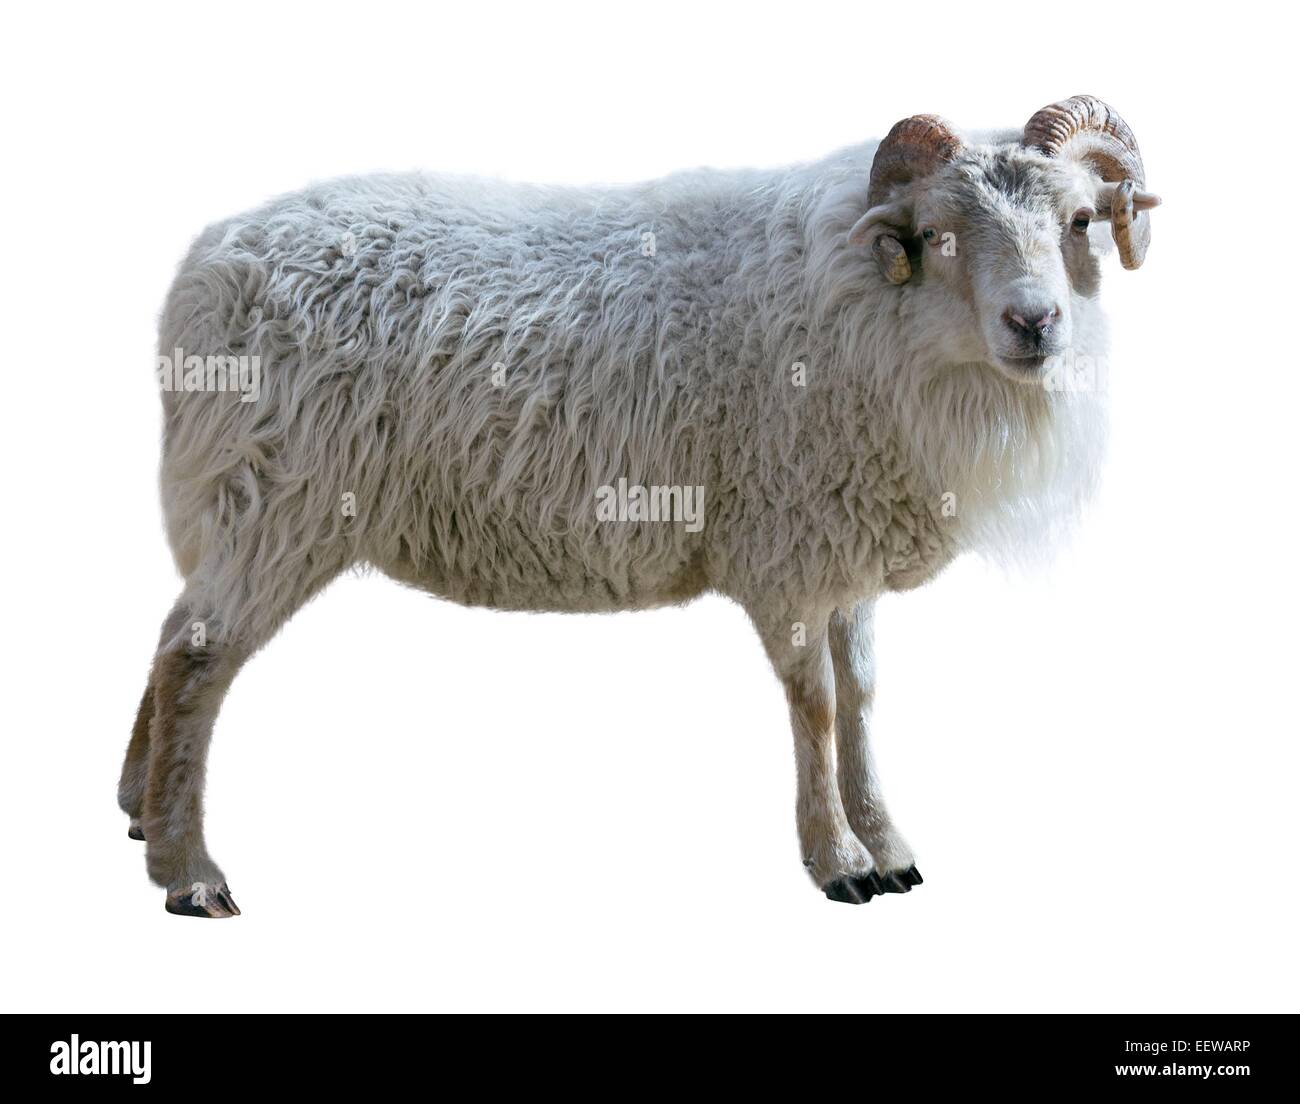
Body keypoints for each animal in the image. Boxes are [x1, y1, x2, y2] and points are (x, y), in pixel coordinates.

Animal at [121, 95, 1161, 915]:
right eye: (941, 232)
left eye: (1078, 219)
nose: (1036, 324)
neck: (870, 307)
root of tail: (204, 271)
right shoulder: (785, 552)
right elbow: (817, 706)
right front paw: (839, 863)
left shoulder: (843, 548)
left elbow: (863, 698)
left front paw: (891, 846)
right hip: (275, 499)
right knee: (193, 658)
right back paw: (188, 871)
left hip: (238, 503)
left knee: (172, 635)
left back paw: (139, 810)